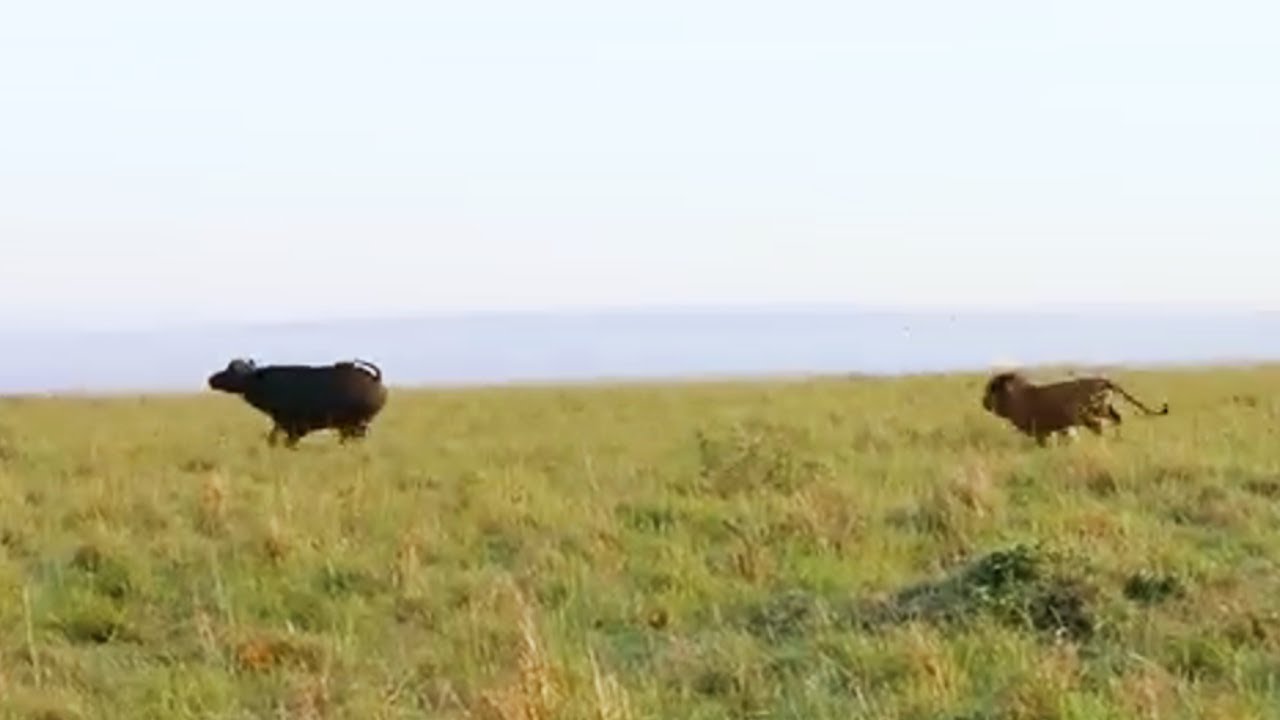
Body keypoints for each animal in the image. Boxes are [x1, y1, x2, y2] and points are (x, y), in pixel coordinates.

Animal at [207, 358, 388, 448]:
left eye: (232, 370)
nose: (211, 379)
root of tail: (375, 378)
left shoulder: (292, 427)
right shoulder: (281, 424)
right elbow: (273, 439)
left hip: (355, 426)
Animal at [981, 370, 1169, 446]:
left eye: (990, 389)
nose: (983, 402)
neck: (1015, 397)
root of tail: (1103, 380)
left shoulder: (1041, 431)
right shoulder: (1059, 429)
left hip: (1090, 415)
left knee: (1102, 427)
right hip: (1104, 410)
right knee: (1117, 420)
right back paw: (1117, 441)